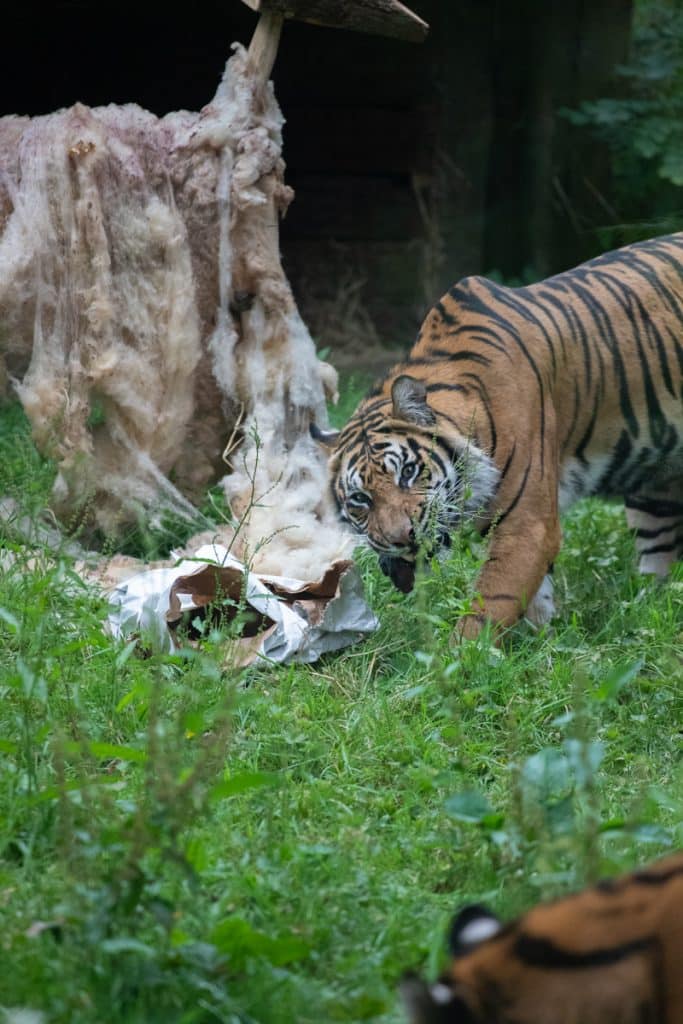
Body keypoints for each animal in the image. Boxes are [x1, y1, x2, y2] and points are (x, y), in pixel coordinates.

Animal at [311, 233, 683, 638]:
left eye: (408, 472)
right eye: (360, 499)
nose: (402, 539)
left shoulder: (528, 524)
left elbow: (489, 604)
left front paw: (463, 652)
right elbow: (534, 598)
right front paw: (540, 640)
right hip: (656, 491)